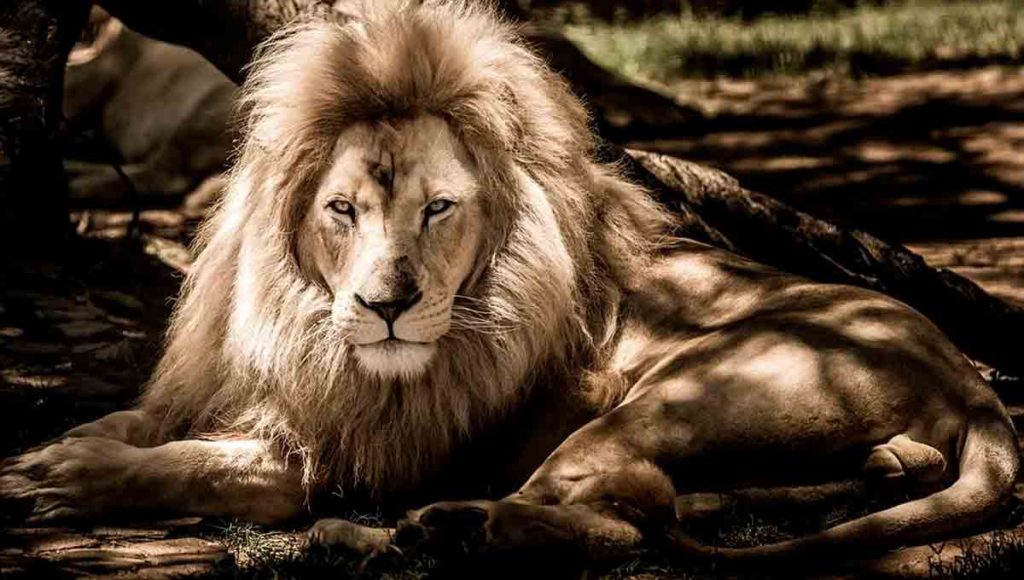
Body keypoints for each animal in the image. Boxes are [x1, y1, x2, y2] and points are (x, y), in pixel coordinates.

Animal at [1, 0, 1018, 565]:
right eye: (343, 210)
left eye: (440, 210)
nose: (387, 307)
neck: (303, 324)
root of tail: (966, 379)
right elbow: (145, 421)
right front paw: (68, 445)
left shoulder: (363, 453)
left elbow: (215, 468)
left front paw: (67, 475)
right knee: (664, 506)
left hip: (677, 396)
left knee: (608, 525)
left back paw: (409, 535)